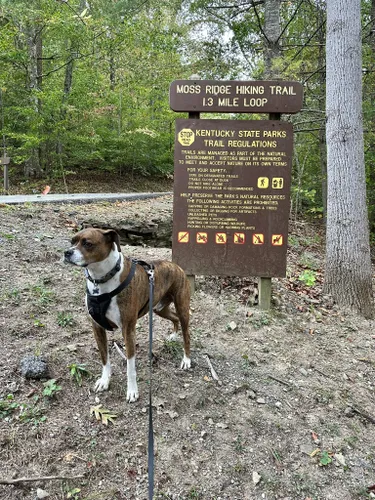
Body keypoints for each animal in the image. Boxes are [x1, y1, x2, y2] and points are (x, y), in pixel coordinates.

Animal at [64, 227, 191, 402]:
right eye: (72, 241)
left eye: (87, 243)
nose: (66, 252)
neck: (101, 280)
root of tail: (175, 265)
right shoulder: (97, 327)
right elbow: (105, 358)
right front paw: (104, 380)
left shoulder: (128, 330)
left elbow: (130, 366)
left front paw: (132, 390)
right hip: (159, 309)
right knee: (174, 317)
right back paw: (173, 335)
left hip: (182, 307)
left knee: (186, 333)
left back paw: (186, 359)